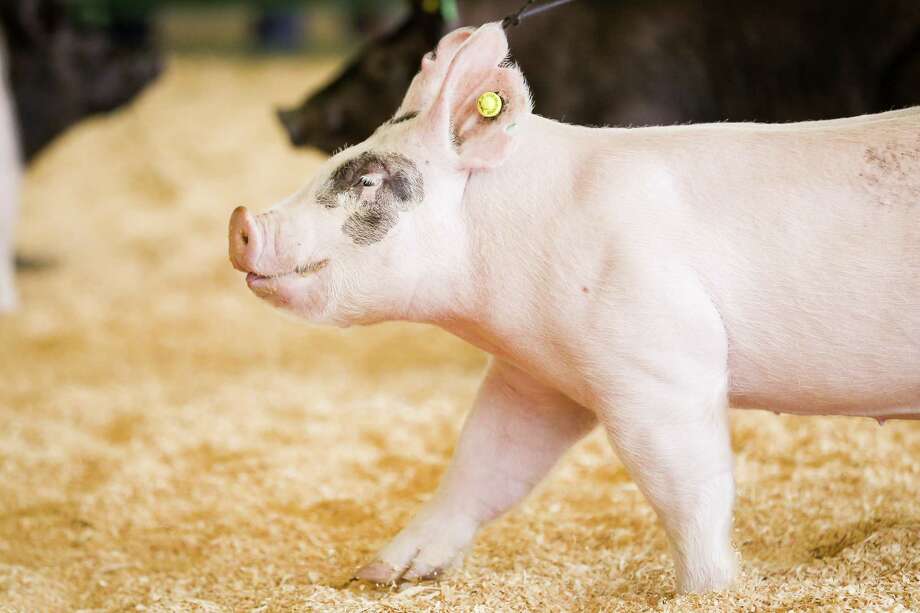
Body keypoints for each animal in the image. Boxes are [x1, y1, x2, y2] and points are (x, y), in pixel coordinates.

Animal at [230, 23, 920, 593]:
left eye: (367, 179)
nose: (241, 221)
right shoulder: (535, 378)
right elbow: (482, 464)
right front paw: (377, 575)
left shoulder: (663, 364)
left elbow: (689, 491)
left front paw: (710, 590)